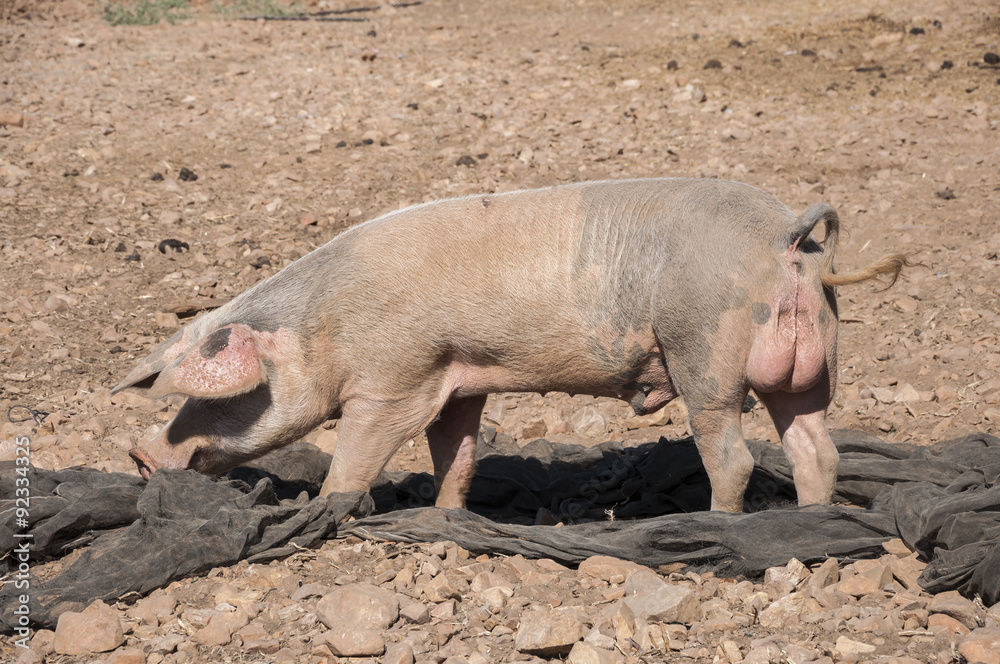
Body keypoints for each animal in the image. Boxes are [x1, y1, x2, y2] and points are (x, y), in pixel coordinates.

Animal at [112, 178, 909, 513]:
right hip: (813, 365)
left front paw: (333, 511)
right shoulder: (459, 380)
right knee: (815, 446)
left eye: (217, 397)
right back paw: (808, 521)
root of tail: (787, 236)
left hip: (705, 354)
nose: (139, 453)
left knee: (735, 455)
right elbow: (456, 455)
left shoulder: (394, 379)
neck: (325, 328)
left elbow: (358, 455)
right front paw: (445, 518)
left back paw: (718, 527)